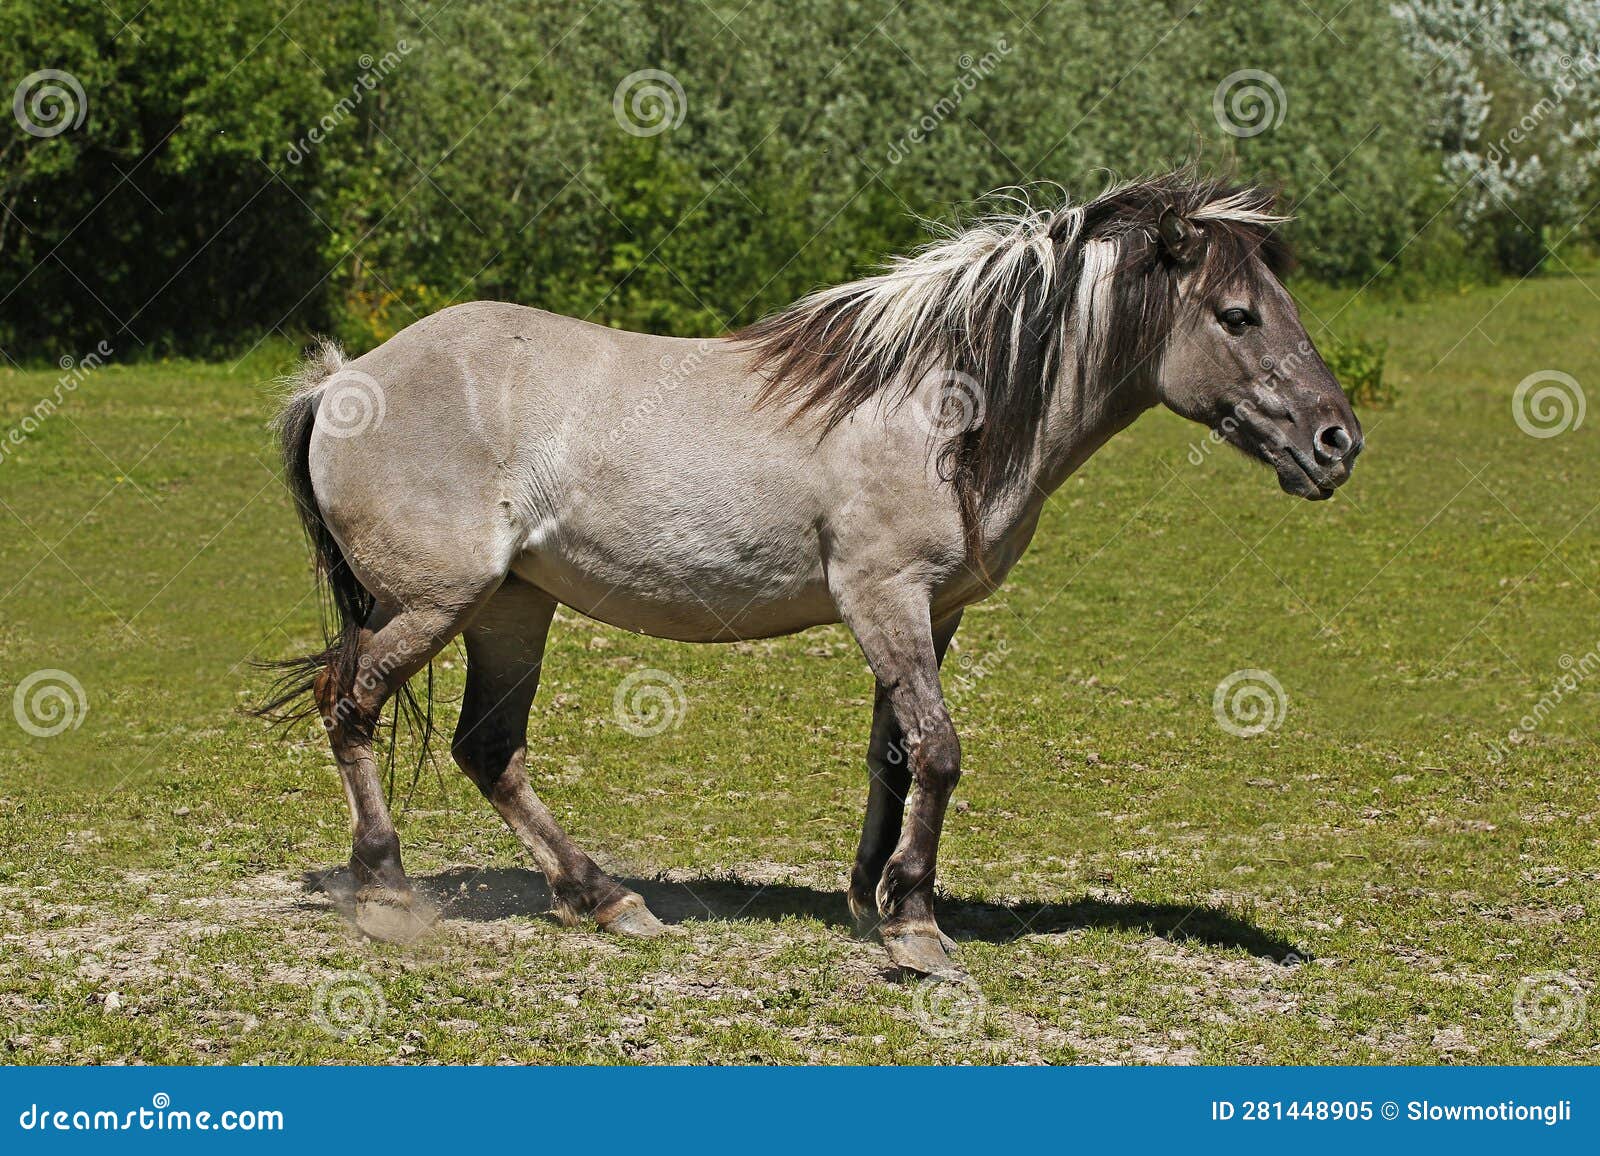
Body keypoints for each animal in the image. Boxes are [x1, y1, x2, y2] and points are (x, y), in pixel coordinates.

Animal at [260, 172, 1361, 981]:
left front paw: (869, 898)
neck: (943, 409)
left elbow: (895, 754)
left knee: (487, 751)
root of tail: (345, 379)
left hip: (512, 607)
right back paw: (388, 892)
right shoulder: (883, 597)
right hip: (436, 603)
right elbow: (940, 751)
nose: (1336, 441)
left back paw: (605, 900)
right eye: (1237, 316)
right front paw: (916, 931)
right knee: (350, 704)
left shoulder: (932, 612)